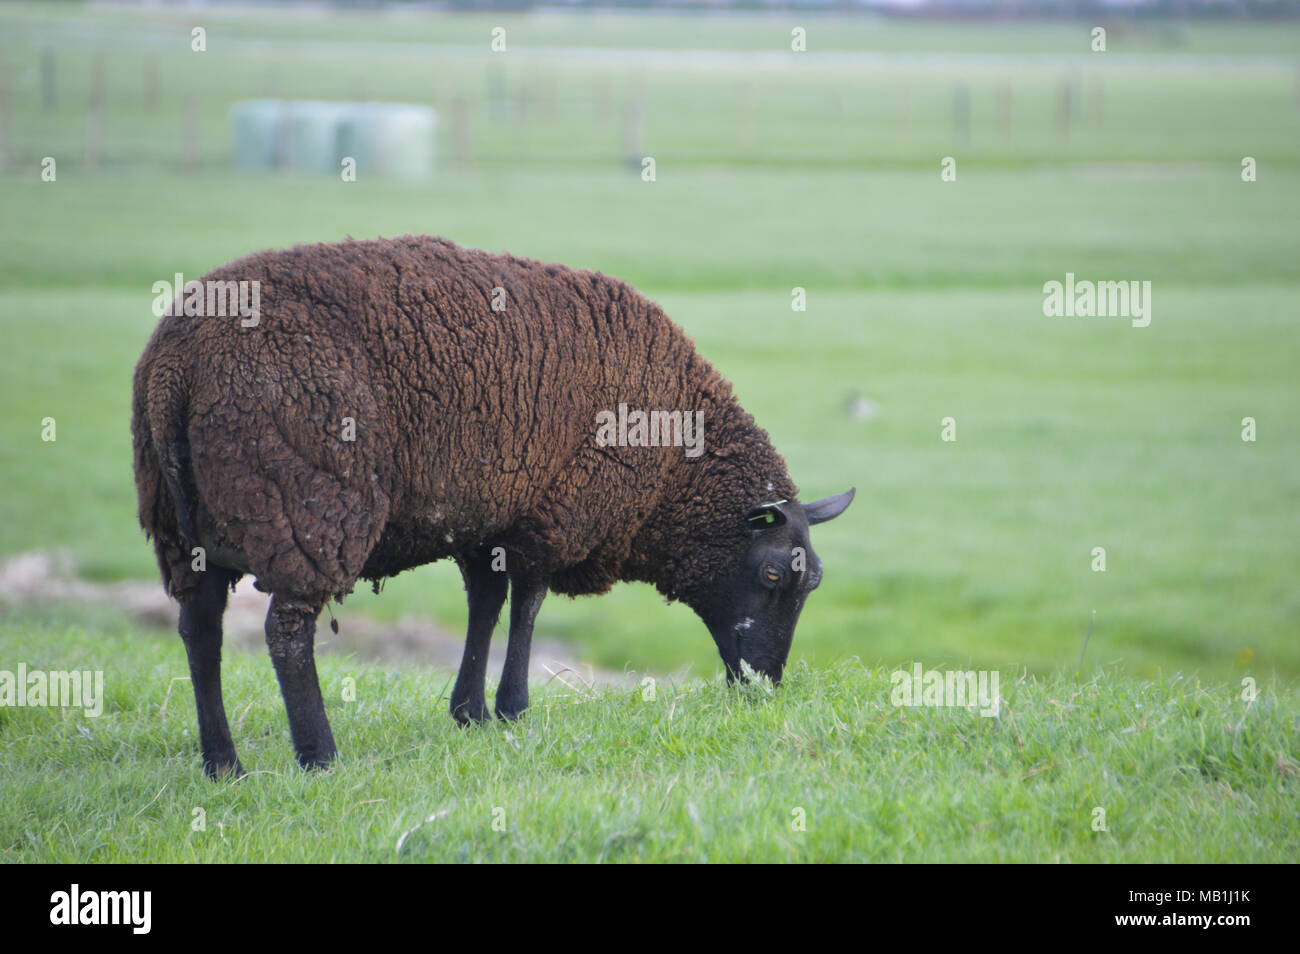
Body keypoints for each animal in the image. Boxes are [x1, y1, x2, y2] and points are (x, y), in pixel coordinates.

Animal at [132, 235, 854, 777]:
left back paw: (223, 764)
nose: (765, 684)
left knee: (200, 629)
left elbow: (486, 604)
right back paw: (319, 756)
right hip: (305, 508)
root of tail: (177, 370)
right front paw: (512, 707)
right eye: (770, 574)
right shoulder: (557, 510)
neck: (675, 464)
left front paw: (469, 711)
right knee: (285, 630)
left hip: (182, 530)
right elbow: (528, 605)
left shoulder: (491, 517)